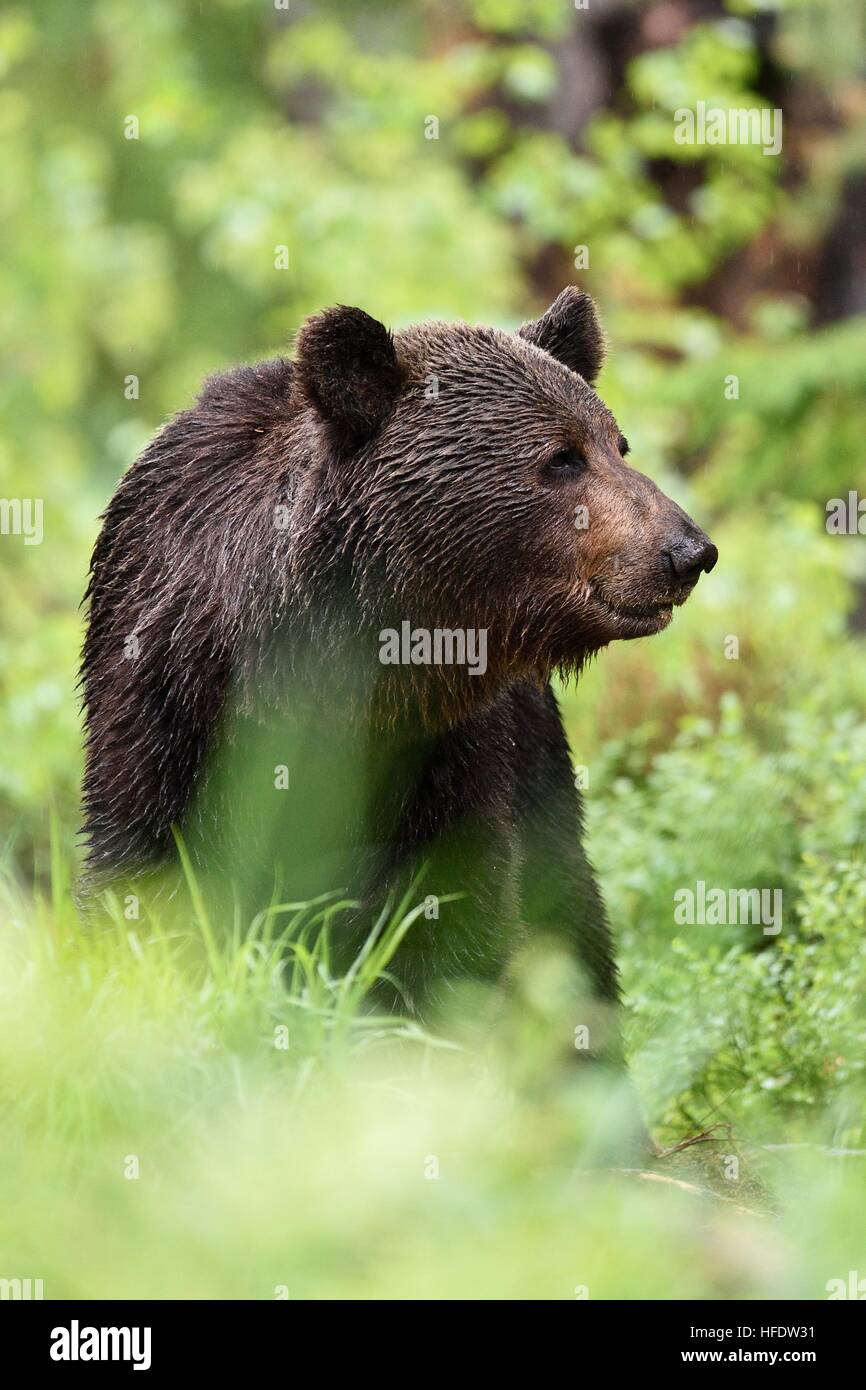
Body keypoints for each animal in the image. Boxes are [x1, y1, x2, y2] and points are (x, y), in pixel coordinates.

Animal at [80, 287, 716, 1041]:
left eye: (618, 445)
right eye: (561, 457)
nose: (688, 551)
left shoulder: (446, 757)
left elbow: (451, 931)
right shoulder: (162, 712)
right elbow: (145, 888)